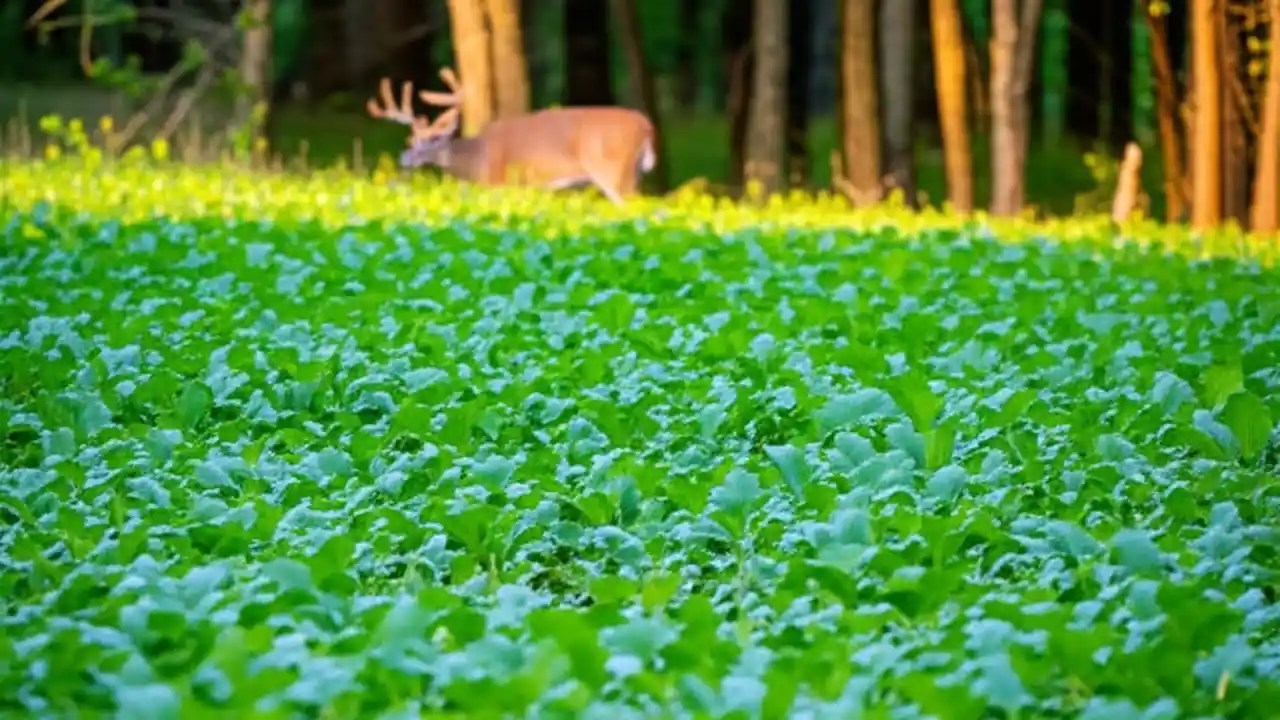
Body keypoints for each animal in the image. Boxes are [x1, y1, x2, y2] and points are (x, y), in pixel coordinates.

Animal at [367, 68, 656, 205]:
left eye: (434, 138)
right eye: (410, 139)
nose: (405, 158)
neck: (477, 158)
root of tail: (645, 125)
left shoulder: (501, 185)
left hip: (615, 172)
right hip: (634, 173)